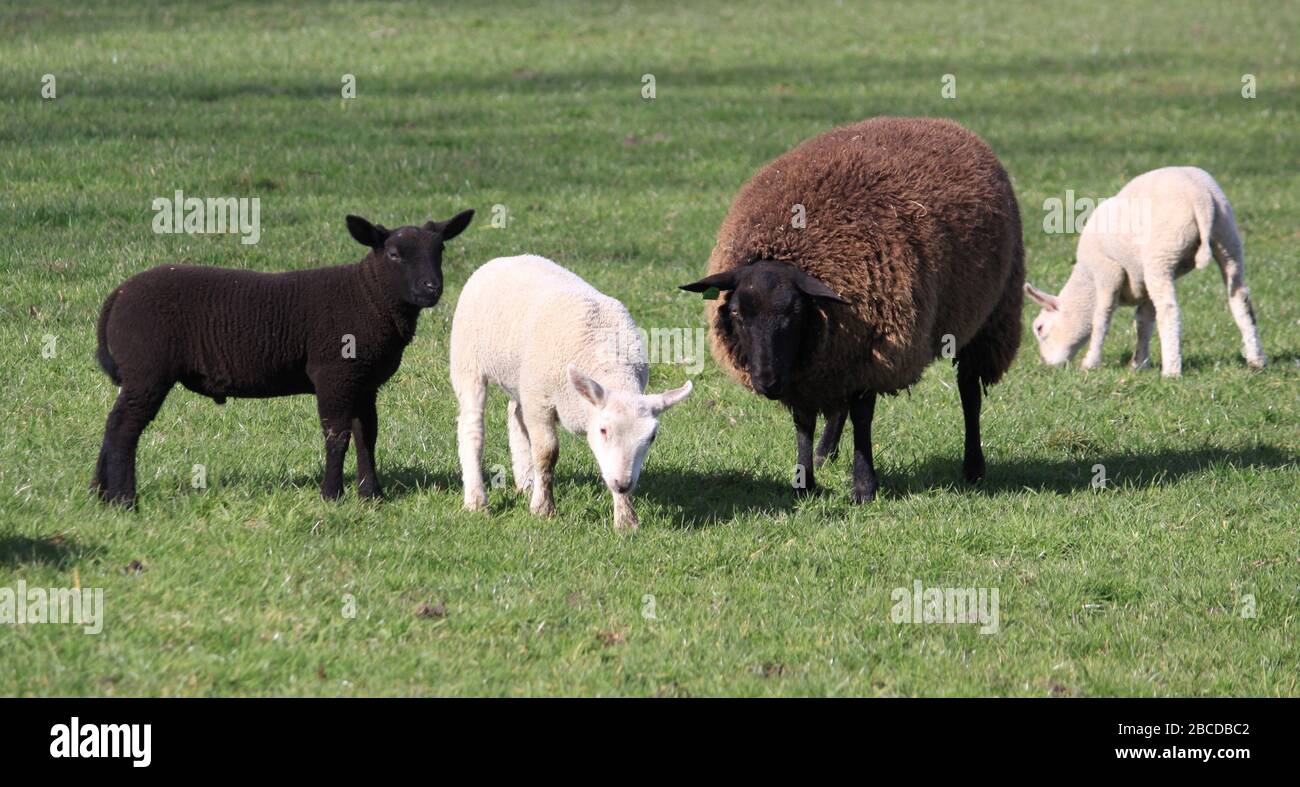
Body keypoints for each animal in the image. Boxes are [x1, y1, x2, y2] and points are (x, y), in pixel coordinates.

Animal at [92, 209, 474, 506]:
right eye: (394, 254)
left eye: (440, 249)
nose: (431, 288)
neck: (368, 295)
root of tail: (117, 295)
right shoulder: (334, 375)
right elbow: (337, 436)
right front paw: (332, 495)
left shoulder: (364, 383)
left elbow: (367, 435)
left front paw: (372, 496)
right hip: (148, 370)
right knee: (125, 428)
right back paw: (124, 500)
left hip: (137, 374)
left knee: (113, 423)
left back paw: (99, 494)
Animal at [450, 254, 693, 531]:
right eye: (603, 430)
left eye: (652, 437)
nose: (623, 484)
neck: (609, 363)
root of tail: (506, 258)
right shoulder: (540, 401)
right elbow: (546, 453)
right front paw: (543, 508)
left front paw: (625, 519)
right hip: (468, 360)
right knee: (472, 427)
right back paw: (477, 501)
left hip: (520, 379)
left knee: (515, 414)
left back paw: (526, 482)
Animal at [680, 117, 1023, 503]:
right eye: (738, 314)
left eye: (795, 312)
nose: (766, 382)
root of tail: (945, 123)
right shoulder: (815, 363)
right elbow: (804, 422)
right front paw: (805, 481)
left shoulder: (873, 352)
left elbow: (862, 418)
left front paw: (863, 486)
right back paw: (825, 452)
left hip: (991, 318)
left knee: (969, 391)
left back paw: (973, 467)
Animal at [1025, 166, 1265, 376]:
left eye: (1039, 328)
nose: (1045, 365)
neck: (1087, 279)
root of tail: (1201, 196)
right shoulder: (1143, 283)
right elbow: (1144, 320)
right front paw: (1139, 363)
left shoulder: (1108, 271)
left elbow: (1102, 318)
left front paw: (1090, 363)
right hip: (1227, 240)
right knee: (1240, 297)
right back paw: (1257, 360)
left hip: (1161, 255)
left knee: (1169, 310)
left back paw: (1171, 371)